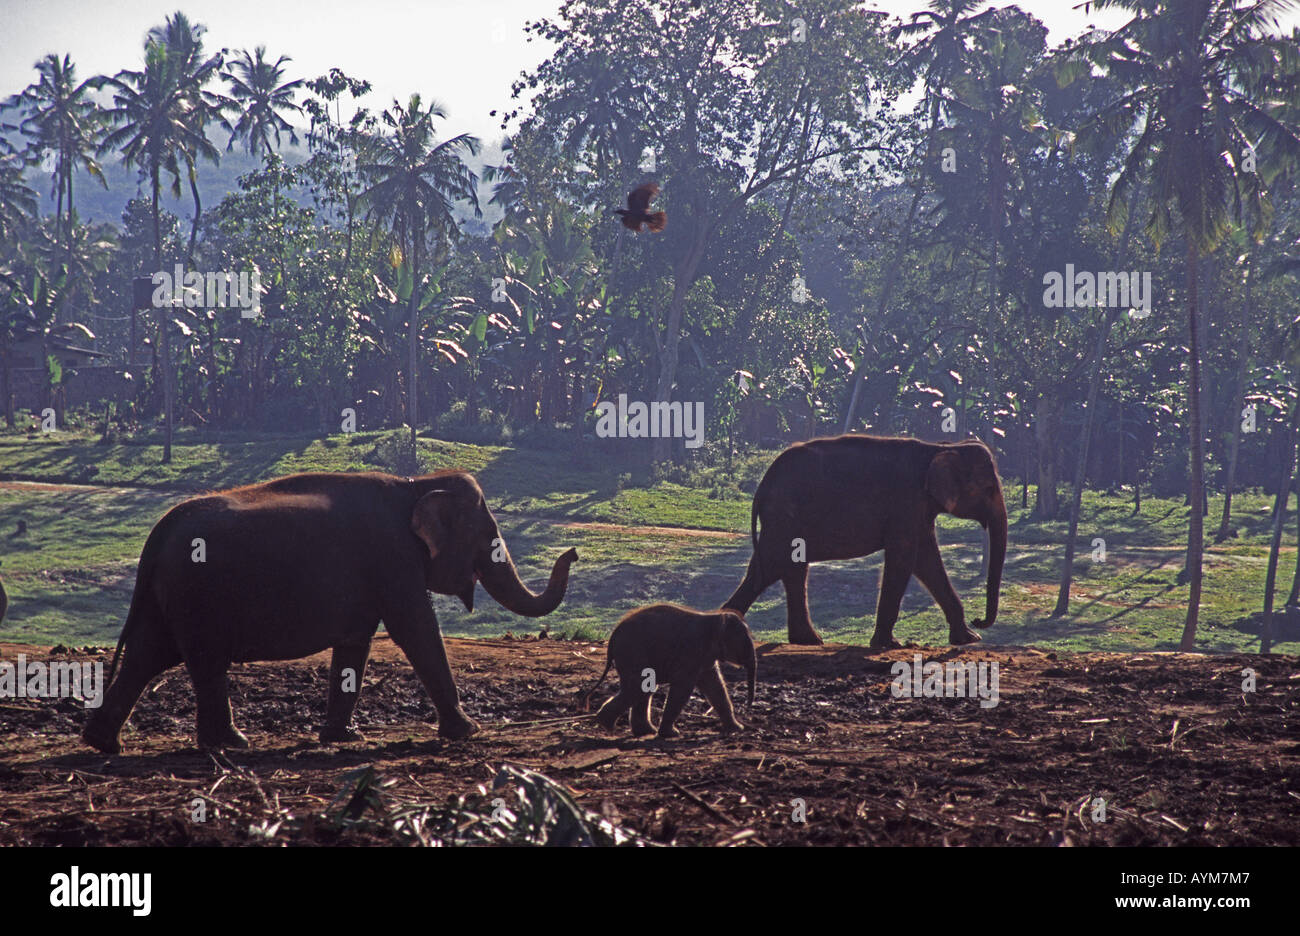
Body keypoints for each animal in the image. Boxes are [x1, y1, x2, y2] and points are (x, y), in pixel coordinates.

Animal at [82, 470, 578, 754]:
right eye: (489, 539)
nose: (572, 551)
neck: (416, 484)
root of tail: (159, 531)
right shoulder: (393, 558)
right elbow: (415, 628)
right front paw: (469, 731)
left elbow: (356, 642)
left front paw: (343, 738)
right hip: (196, 593)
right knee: (200, 660)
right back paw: (230, 743)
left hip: (172, 596)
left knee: (151, 654)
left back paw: (105, 743)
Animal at [582, 603, 757, 739]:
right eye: (745, 645)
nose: (748, 708)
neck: (714, 618)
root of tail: (613, 636)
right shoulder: (690, 651)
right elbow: (683, 688)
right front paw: (671, 734)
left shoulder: (705, 658)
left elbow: (716, 687)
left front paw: (737, 729)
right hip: (632, 652)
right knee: (639, 688)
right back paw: (607, 725)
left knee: (645, 687)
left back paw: (643, 731)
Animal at [723, 434, 1007, 648]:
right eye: (989, 489)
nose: (978, 620)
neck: (941, 447)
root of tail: (762, 485)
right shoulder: (905, 502)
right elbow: (904, 559)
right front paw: (888, 645)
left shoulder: (918, 510)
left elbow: (927, 561)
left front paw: (968, 639)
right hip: (785, 517)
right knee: (772, 567)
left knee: (784, 569)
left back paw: (807, 640)